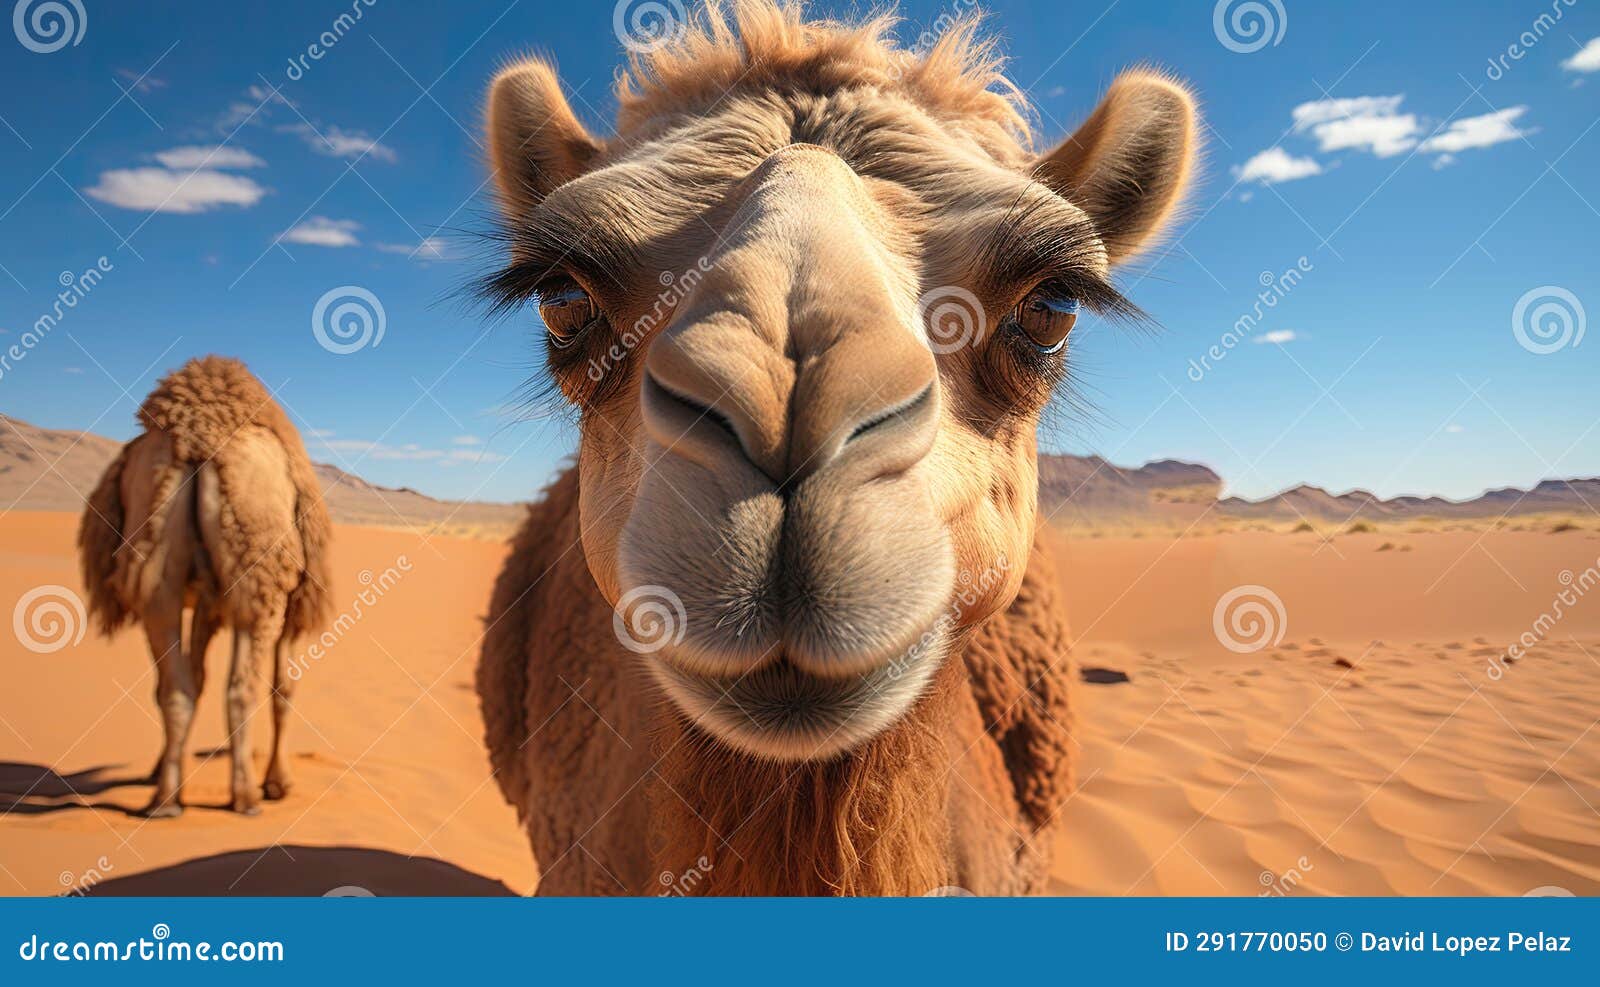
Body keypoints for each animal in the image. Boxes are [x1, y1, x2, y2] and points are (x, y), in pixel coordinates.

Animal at [78, 356, 333, 817]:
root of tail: (200, 443)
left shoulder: (204, 603)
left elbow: (195, 675)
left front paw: (161, 769)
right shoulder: (288, 606)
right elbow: (284, 688)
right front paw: (279, 783)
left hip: (157, 569)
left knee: (173, 687)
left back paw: (165, 798)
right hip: (261, 586)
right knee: (242, 689)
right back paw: (246, 796)